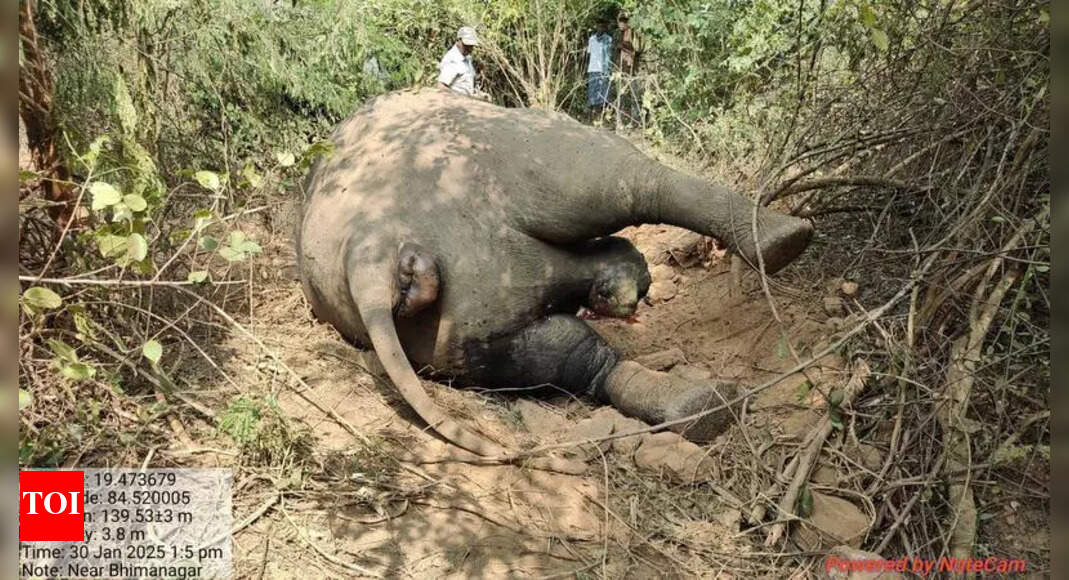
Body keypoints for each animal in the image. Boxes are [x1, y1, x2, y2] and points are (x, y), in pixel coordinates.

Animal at [298, 88, 813, 462]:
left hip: (454, 327)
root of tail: (369, 247)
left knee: (552, 354)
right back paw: (782, 240)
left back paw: (699, 408)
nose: (636, 292)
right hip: (520, 158)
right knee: (616, 179)